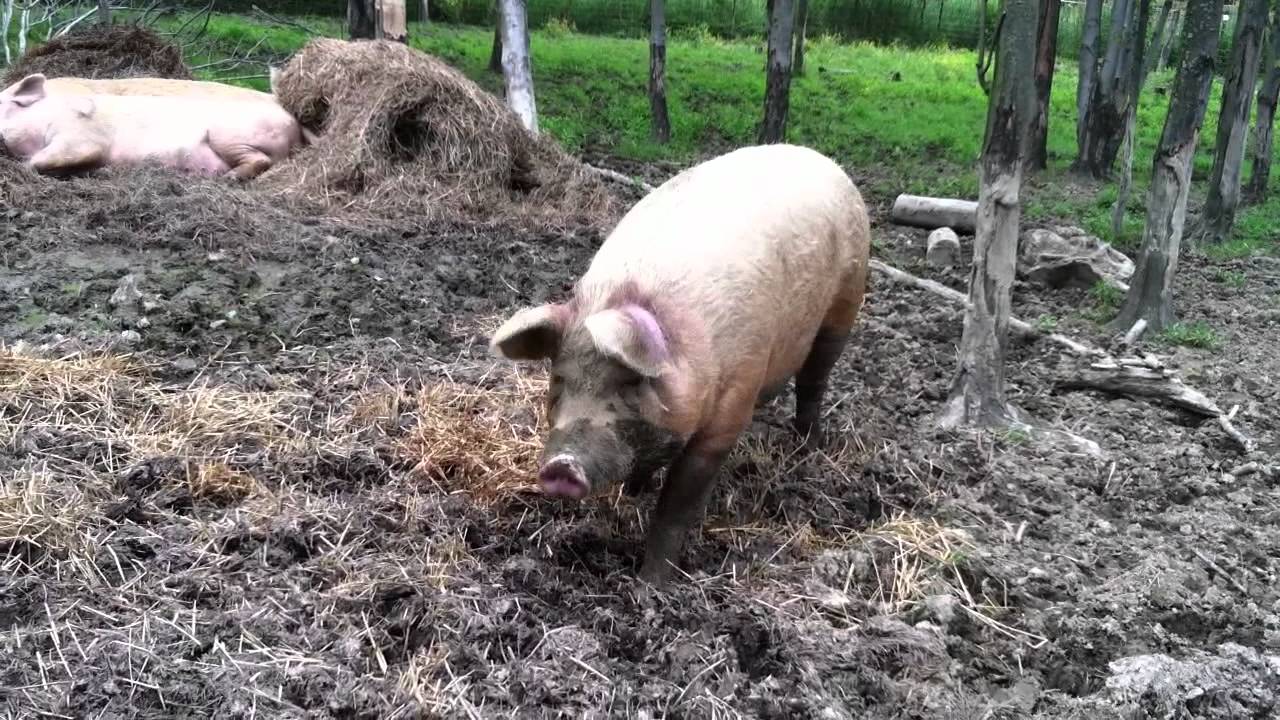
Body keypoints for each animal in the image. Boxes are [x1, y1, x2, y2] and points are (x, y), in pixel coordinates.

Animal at [0, 73, 303, 179]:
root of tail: (293, 124)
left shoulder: (81, 135)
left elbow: (42, 160)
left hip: (228, 134)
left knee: (262, 160)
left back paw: (229, 178)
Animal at [489, 143, 871, 585]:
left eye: (630, 384)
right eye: (559, 380)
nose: (562, 467)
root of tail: (820, 158)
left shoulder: (727, 411)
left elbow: (677, 505)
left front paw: (650, 586)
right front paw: (633, 492)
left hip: (846, 302)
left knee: (815, 379)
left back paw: (808, 446)